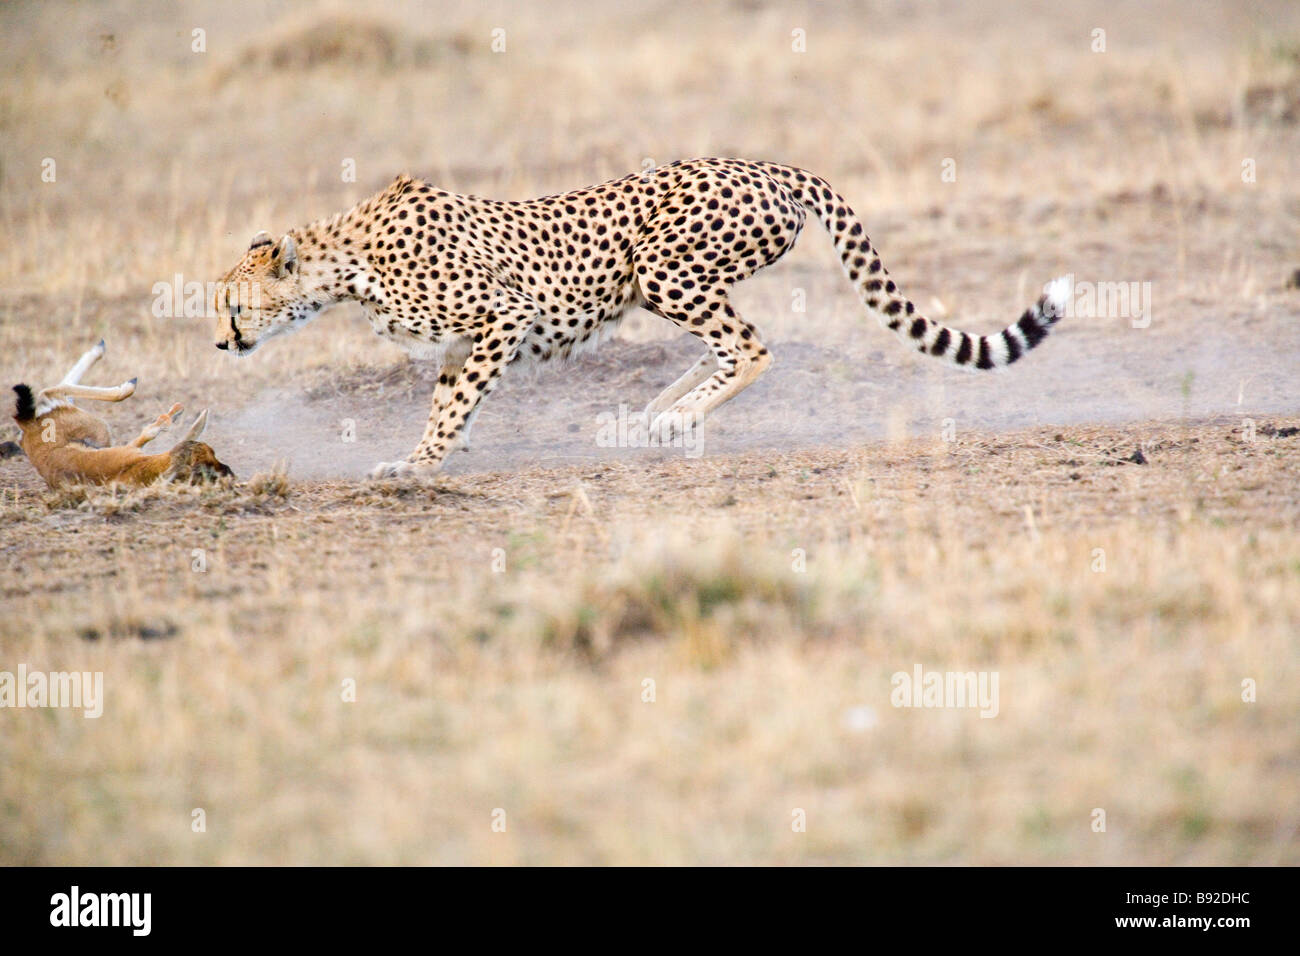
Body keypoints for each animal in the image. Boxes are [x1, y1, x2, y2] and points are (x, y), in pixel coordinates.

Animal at [6, 340, 233, 489]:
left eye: (212, 451)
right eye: (205, 467)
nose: (229, 472)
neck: (134, 469)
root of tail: (28, 426)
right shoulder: (131, 448)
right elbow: (150, 431)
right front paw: (176, 414)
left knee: (55, 391)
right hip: (98, 428)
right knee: (52, 390)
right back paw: (122, 378)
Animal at [213, 158, 1069, 478]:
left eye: (232, 303)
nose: (221, 341)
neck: (342, 265)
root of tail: (769, 162)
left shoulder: (503, 317)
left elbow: (452, 408)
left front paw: (419, 465)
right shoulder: (464, 342)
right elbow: (447, 400)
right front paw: (427, 453)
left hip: (664, 267)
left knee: (751, 348)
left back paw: (674, 417)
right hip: (672, 280)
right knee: (724, 345)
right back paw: (658, 411)